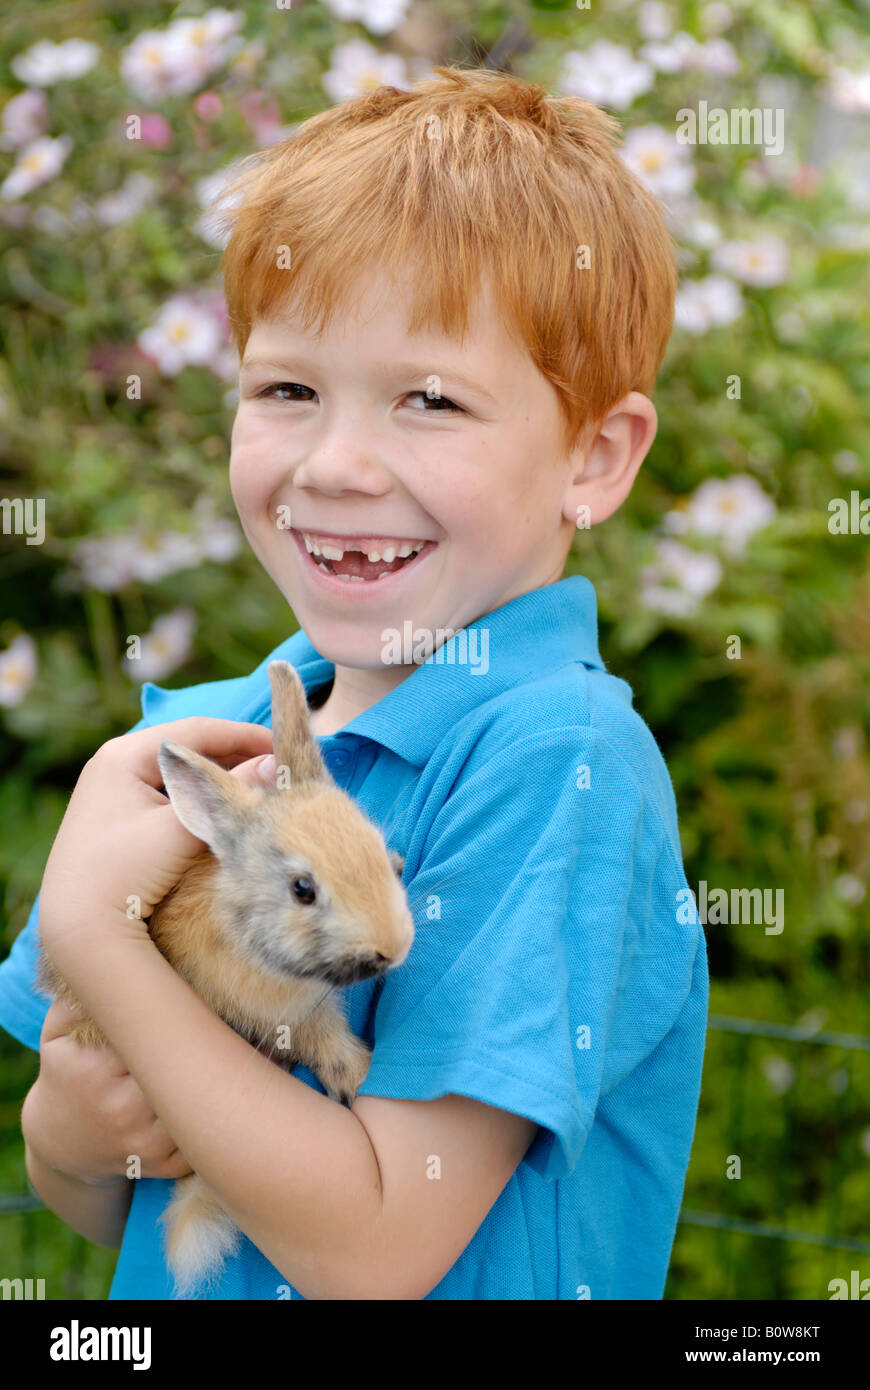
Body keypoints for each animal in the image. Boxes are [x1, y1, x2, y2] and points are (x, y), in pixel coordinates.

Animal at [36, 658, 415, 1296]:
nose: (395, 947)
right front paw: (357, 1077)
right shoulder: (292, 1018)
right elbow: (327, 1045)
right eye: (302, 889)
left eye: (389, 860)